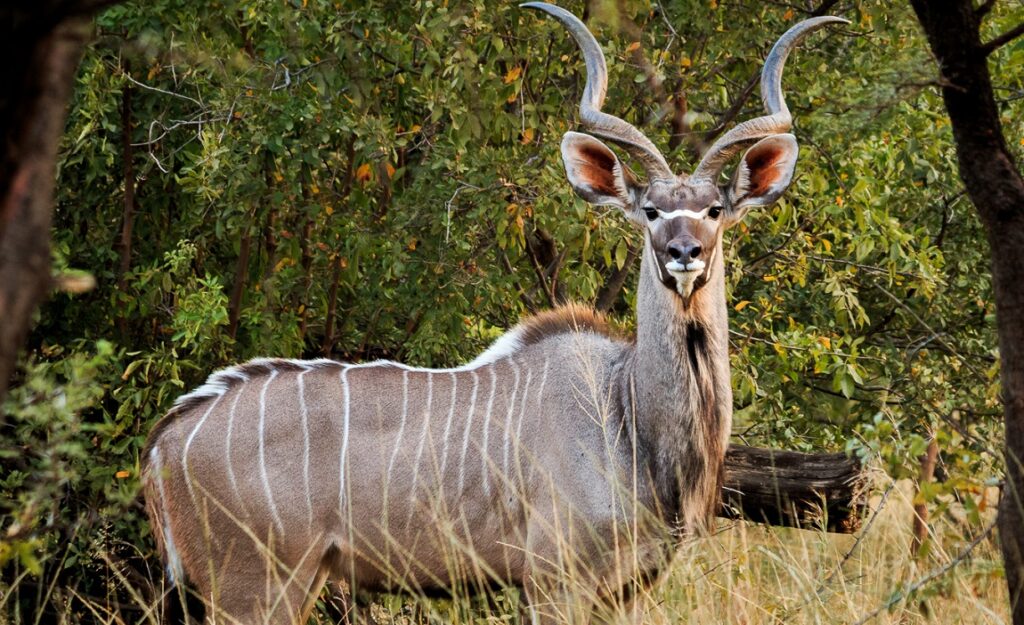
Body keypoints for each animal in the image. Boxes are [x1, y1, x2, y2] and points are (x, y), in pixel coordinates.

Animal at [142, 5, 845, 624]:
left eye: (716, 209)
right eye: (650, 210)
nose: (683, 254)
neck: (625, 415)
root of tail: (165, 442)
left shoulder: (628, 588)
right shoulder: (553, 580)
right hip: (258, 586)